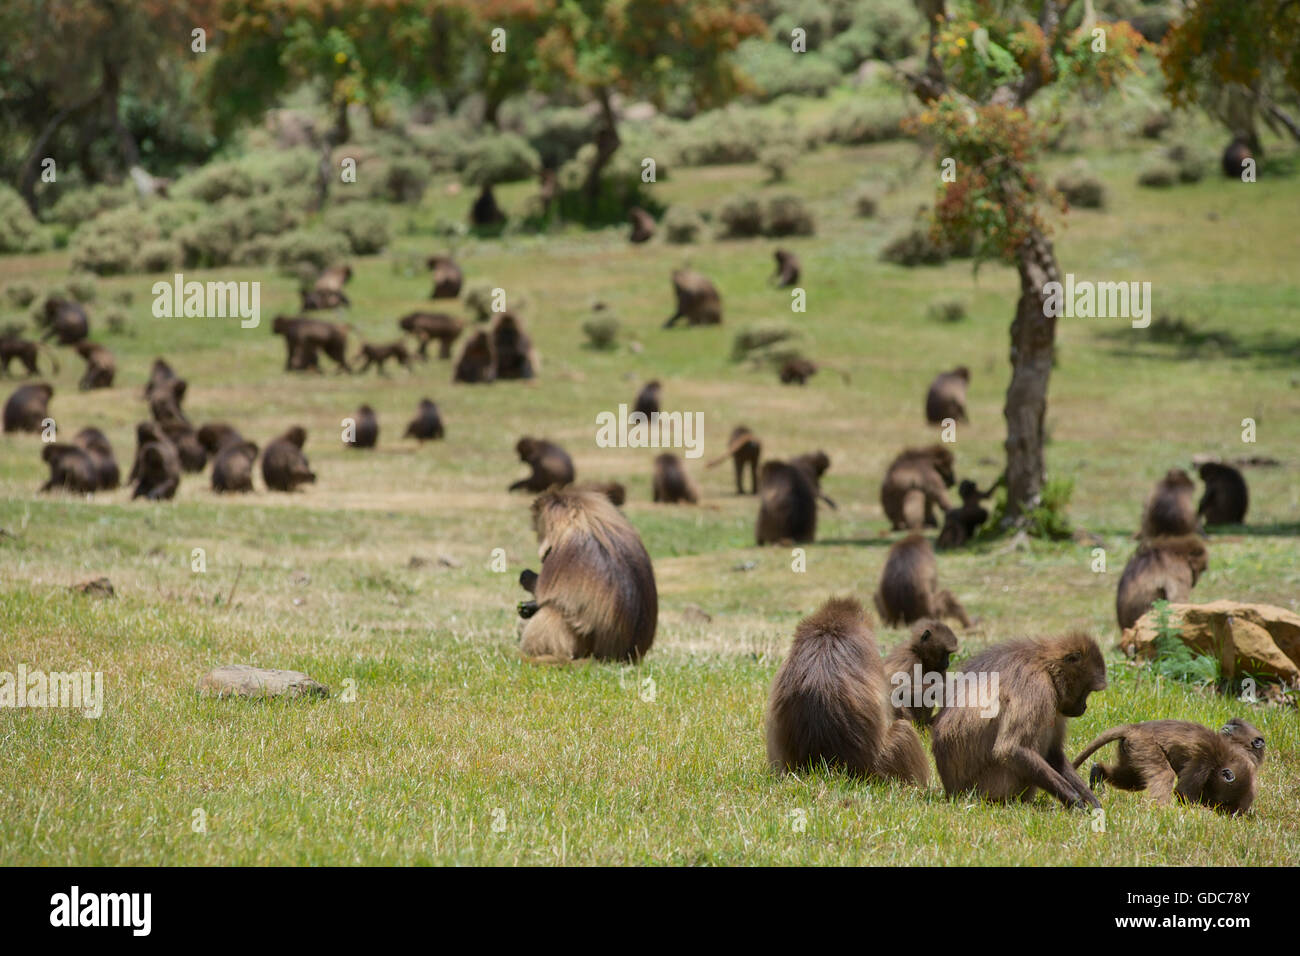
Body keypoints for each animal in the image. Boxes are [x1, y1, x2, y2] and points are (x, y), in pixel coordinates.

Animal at [514, 486, 657, 663]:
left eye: (538, 531)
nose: (544, 549)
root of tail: (621, 658)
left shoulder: (569, 550)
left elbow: (558, 601)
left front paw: (527, 581)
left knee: (554, 612)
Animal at [931, 632, 1108, 809]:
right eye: (1087, 690)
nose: (1084, 707)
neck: (1046, 666)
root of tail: (952, 793)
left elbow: (1053, 753)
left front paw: (1091, 800)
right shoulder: (1037, 688)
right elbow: (1010, 749)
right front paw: (1077, 803)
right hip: (987, 788)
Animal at [1071, 719, 1259, 815]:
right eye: (1223, 802)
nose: (1219, 810)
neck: (1225, 757)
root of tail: (1136, 728)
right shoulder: (1204, 759)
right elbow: (1183, 792)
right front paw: (1203, 813)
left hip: (1132, 748)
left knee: (1135, 781)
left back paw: (1098, 771)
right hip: (1146, 746)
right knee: (1163, 774)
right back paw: (1161, 810)